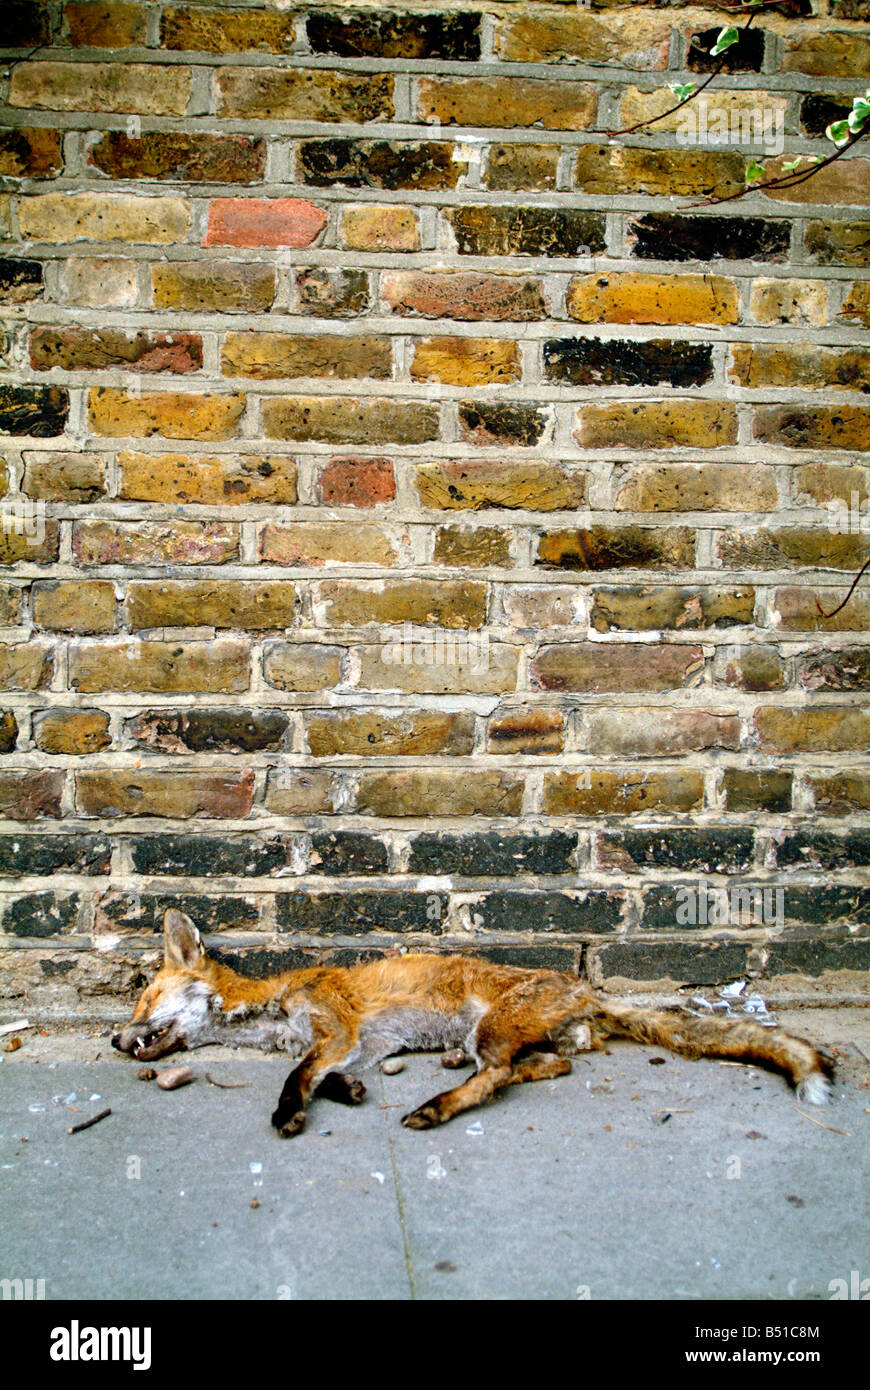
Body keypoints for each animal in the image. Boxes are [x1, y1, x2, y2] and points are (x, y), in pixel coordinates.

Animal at [112, 909, 834, 1136]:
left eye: (143, 1004)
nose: (115, 1039)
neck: (273, 1003)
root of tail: (584, 986)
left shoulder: (336, 1029)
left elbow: (298, 1076)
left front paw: (290, 1111)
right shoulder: (363, 1044)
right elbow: (329, 1074)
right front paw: (346, 1092)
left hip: (494, 1027)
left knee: (498, 1077)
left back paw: (438, 1105)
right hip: (509, 1036)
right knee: (545, 1064)